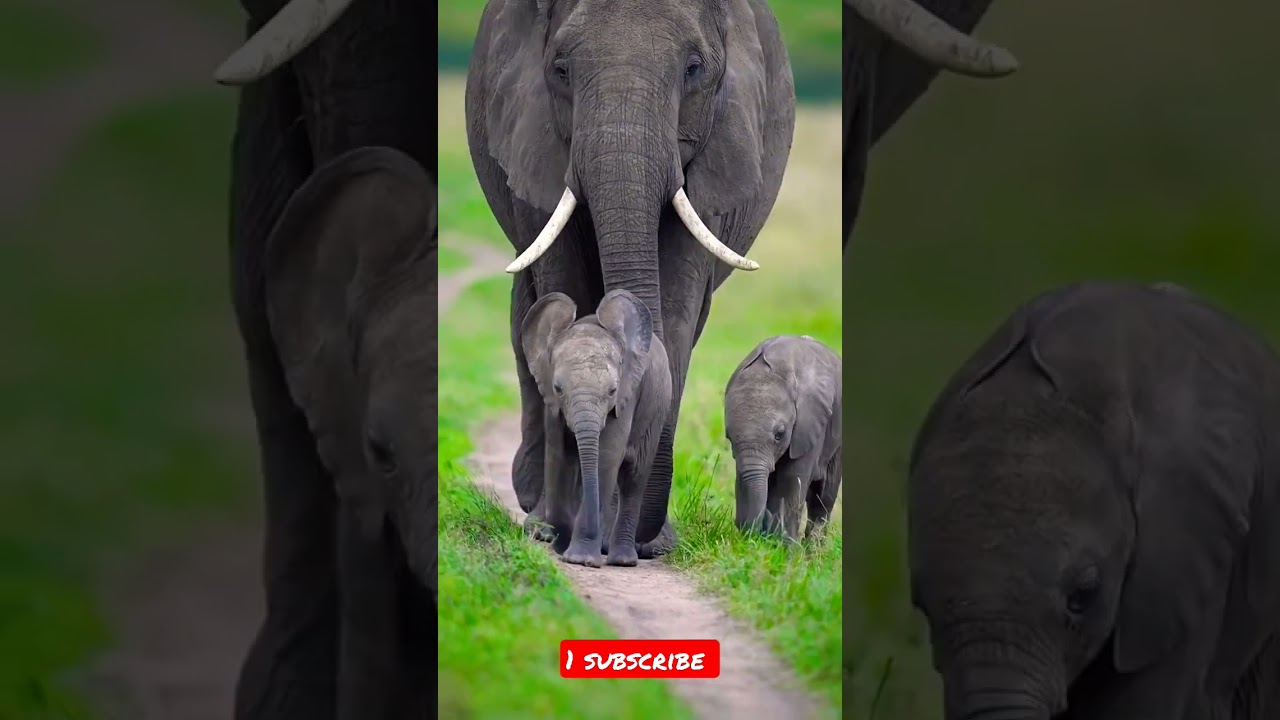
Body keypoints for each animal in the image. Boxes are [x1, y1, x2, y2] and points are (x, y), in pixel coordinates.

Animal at [520, 290, 672, 567]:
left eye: (612, 390)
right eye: (558, 388)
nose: (561, 546)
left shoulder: (625, 399)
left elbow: (606, 458)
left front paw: (579, 558)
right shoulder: (552, 405)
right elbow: (557, 457)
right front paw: (562, 545)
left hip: (657, 410)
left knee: (634, 477)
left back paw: (622, 561)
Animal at [723, 335, 842, 542]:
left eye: (779, 434)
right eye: (729, 437)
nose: (752, 536)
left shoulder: (809, 425)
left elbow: (792, 479)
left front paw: (784, 548)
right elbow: (744, 475)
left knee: (824, 495)